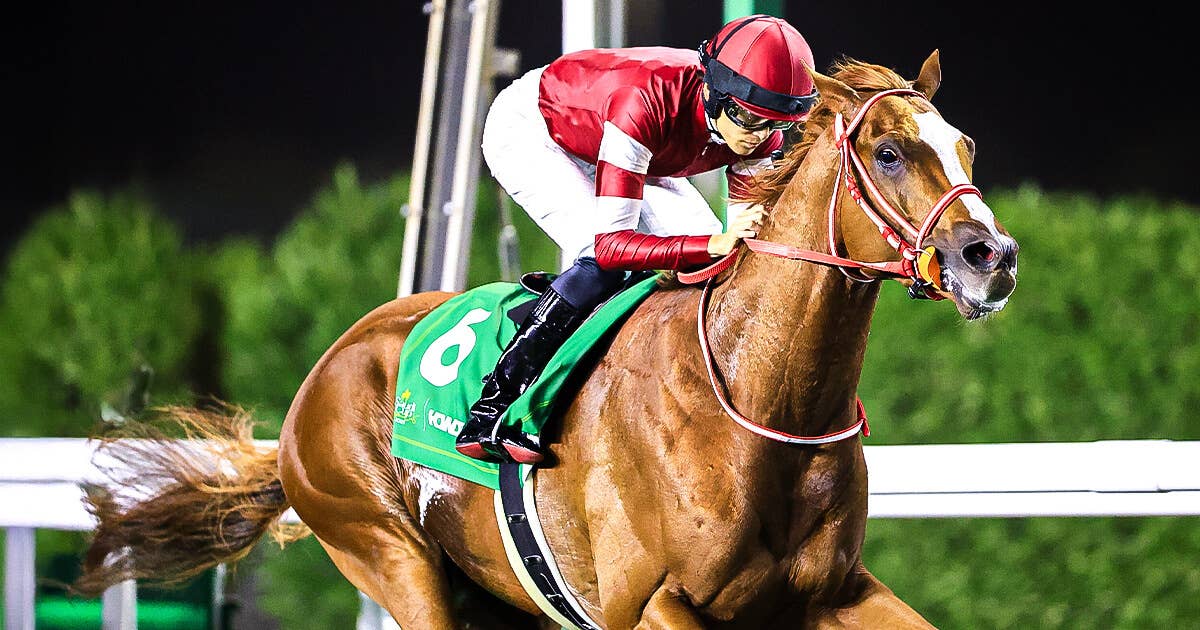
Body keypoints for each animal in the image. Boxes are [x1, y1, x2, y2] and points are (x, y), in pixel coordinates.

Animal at [74, 51, 1018, 628]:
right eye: (889, 152)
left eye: (967, 144)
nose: (992, 257)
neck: (760, 398)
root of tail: (318, 381)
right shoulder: (648, 604)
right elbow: (611, 243)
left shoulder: (834, 595)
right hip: (389, 552)